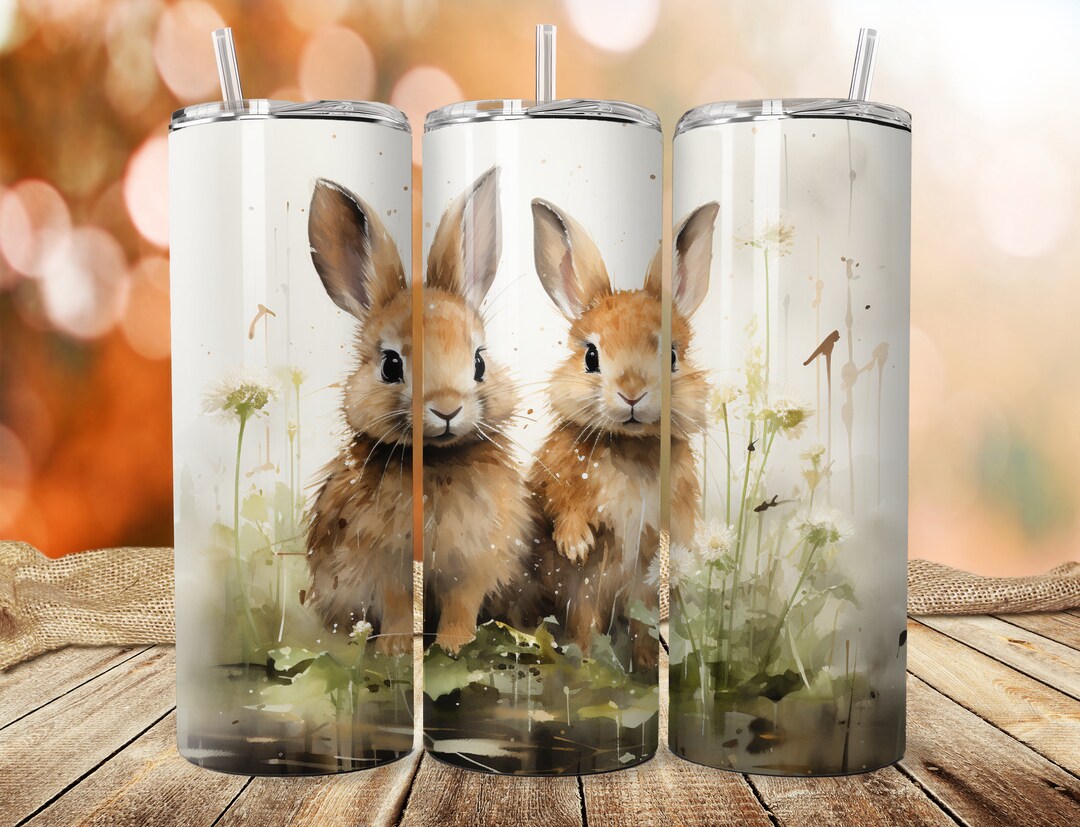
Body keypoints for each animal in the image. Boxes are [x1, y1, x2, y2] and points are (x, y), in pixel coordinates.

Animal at [525, 199, 719, 669]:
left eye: (672, 356)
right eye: (591, 357)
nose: (632, 393)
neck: (630, 448)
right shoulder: (555, 480)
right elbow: (563, 506)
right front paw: (576, 545)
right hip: (583, 599)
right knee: (584, 631)